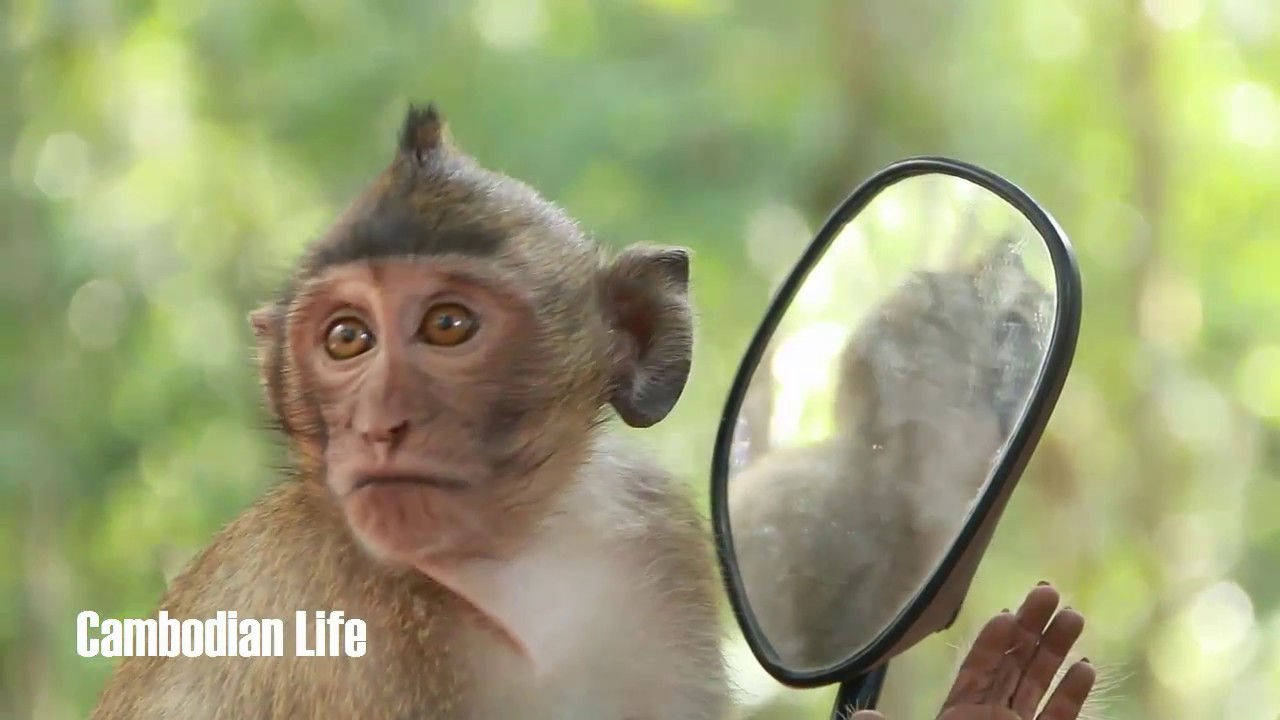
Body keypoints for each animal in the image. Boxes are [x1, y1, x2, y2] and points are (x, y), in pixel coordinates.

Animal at [90, 104, 731, 720]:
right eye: (348, 338)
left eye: (447, 325)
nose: (379, 424)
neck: (518, 562)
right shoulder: (333, 626)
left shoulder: (660, 534)